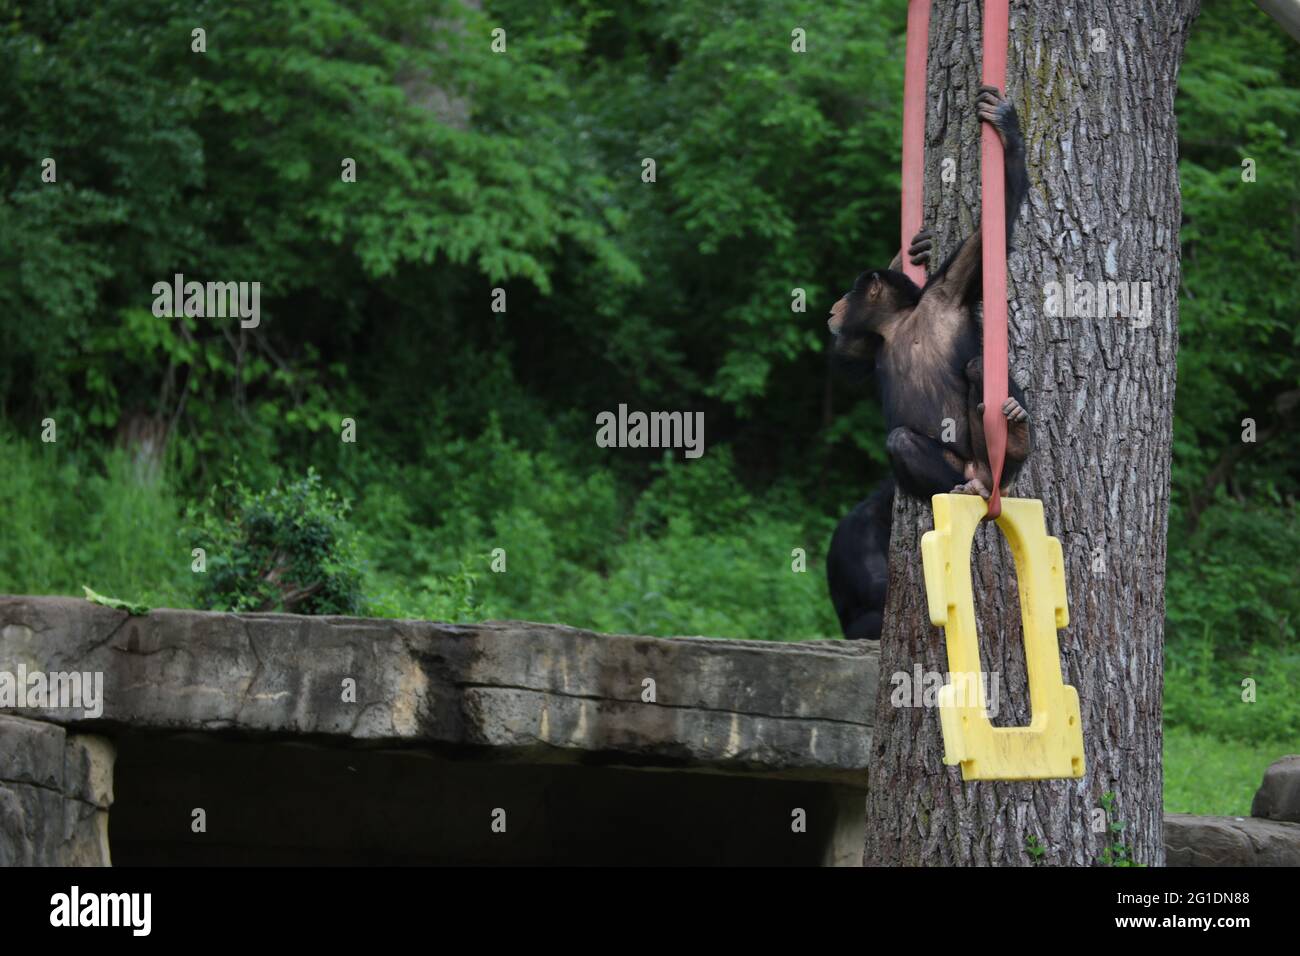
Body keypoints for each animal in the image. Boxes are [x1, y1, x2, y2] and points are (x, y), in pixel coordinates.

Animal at [827, 86, 1031, 501]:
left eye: (851, 291)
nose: (838, 302)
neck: (898, 322)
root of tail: (978, 473)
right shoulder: (867, 343)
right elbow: (845, 362)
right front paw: (909, 252)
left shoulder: (949, 288)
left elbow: (988, 237)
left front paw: (1008, 132)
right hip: (954, 467)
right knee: (902, 442)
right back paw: (965, 486)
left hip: (993, 463)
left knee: (978, 366)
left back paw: (1015, 440)